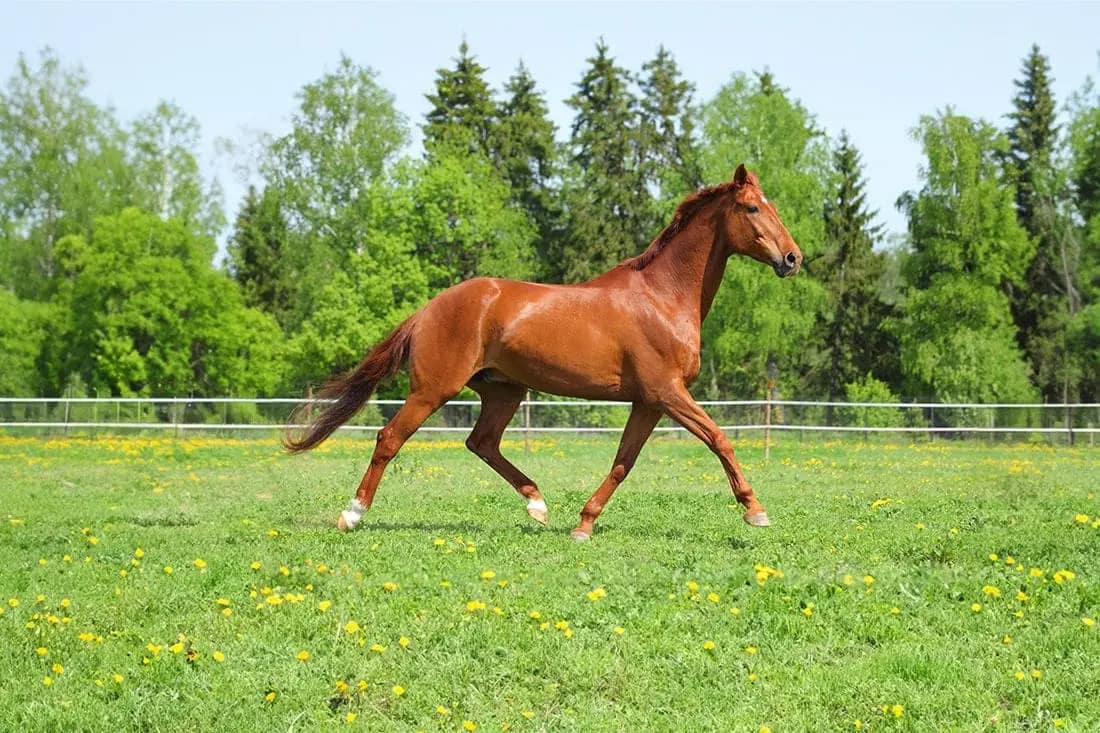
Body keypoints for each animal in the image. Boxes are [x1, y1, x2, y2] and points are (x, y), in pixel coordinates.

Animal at [285, 164, 802, 540]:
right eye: (752, 208)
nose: (793, 258)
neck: (662, 297)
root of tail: (431, 307)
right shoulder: (668, 393)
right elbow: (720, 439)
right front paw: (755, 511)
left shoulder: (648, 402)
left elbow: (624, 461)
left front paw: (584, 524)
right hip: (434, 389)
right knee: (390, 439)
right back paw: (352, 515)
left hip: (503, 391)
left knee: (481, 443)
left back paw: (537, 504)